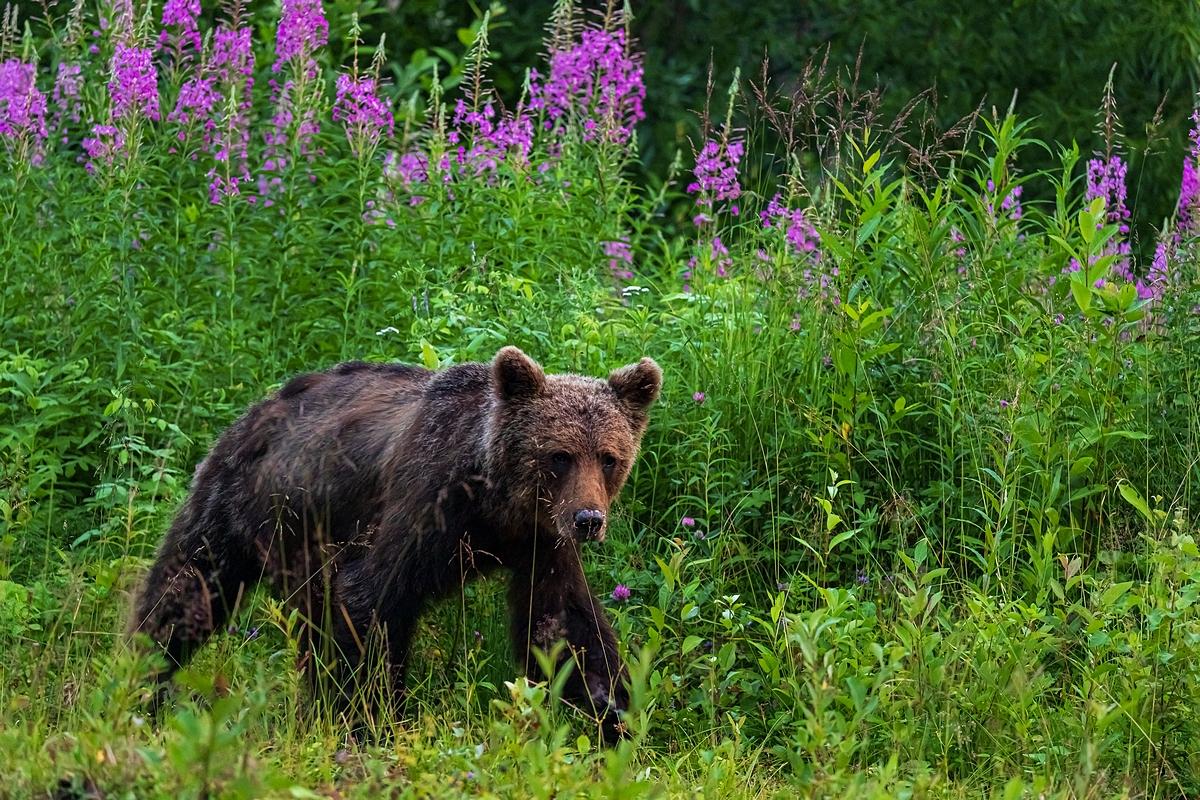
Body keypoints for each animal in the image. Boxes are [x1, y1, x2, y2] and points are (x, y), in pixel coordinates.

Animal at [126, 347, 662, 743]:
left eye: (609, 457)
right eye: (559, 455)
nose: (588, 520)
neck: (494, 503)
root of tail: (257, 406)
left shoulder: (540, 542)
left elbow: (563, 625)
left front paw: (613, 714)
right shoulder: (425, 505)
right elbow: (372, 598)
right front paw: (371, 719)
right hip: (245, 503)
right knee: (187, 587)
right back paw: (143, 681)